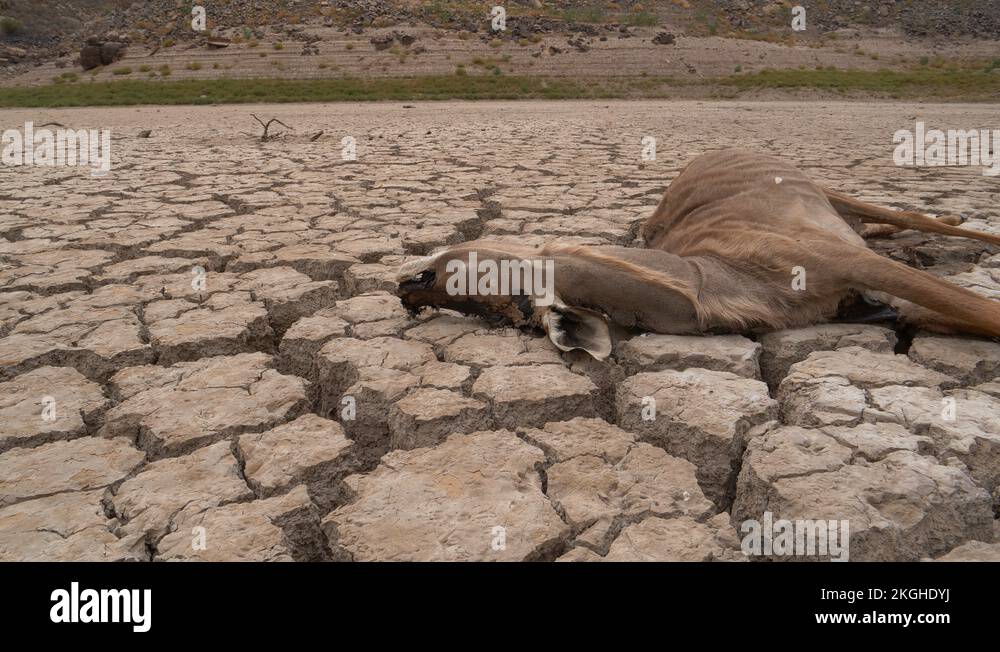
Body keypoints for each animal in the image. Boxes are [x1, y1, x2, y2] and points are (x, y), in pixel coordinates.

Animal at [396, 149, 1000, 359]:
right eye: (517, 313)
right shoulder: (878, 303)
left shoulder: (851, 264)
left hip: (828, 193)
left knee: (911, 217)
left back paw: (950, 223)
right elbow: (929, 315)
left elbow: (982, 310)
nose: (406, 285)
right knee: (885, 226)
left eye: (454, 274)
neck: (710, 282)